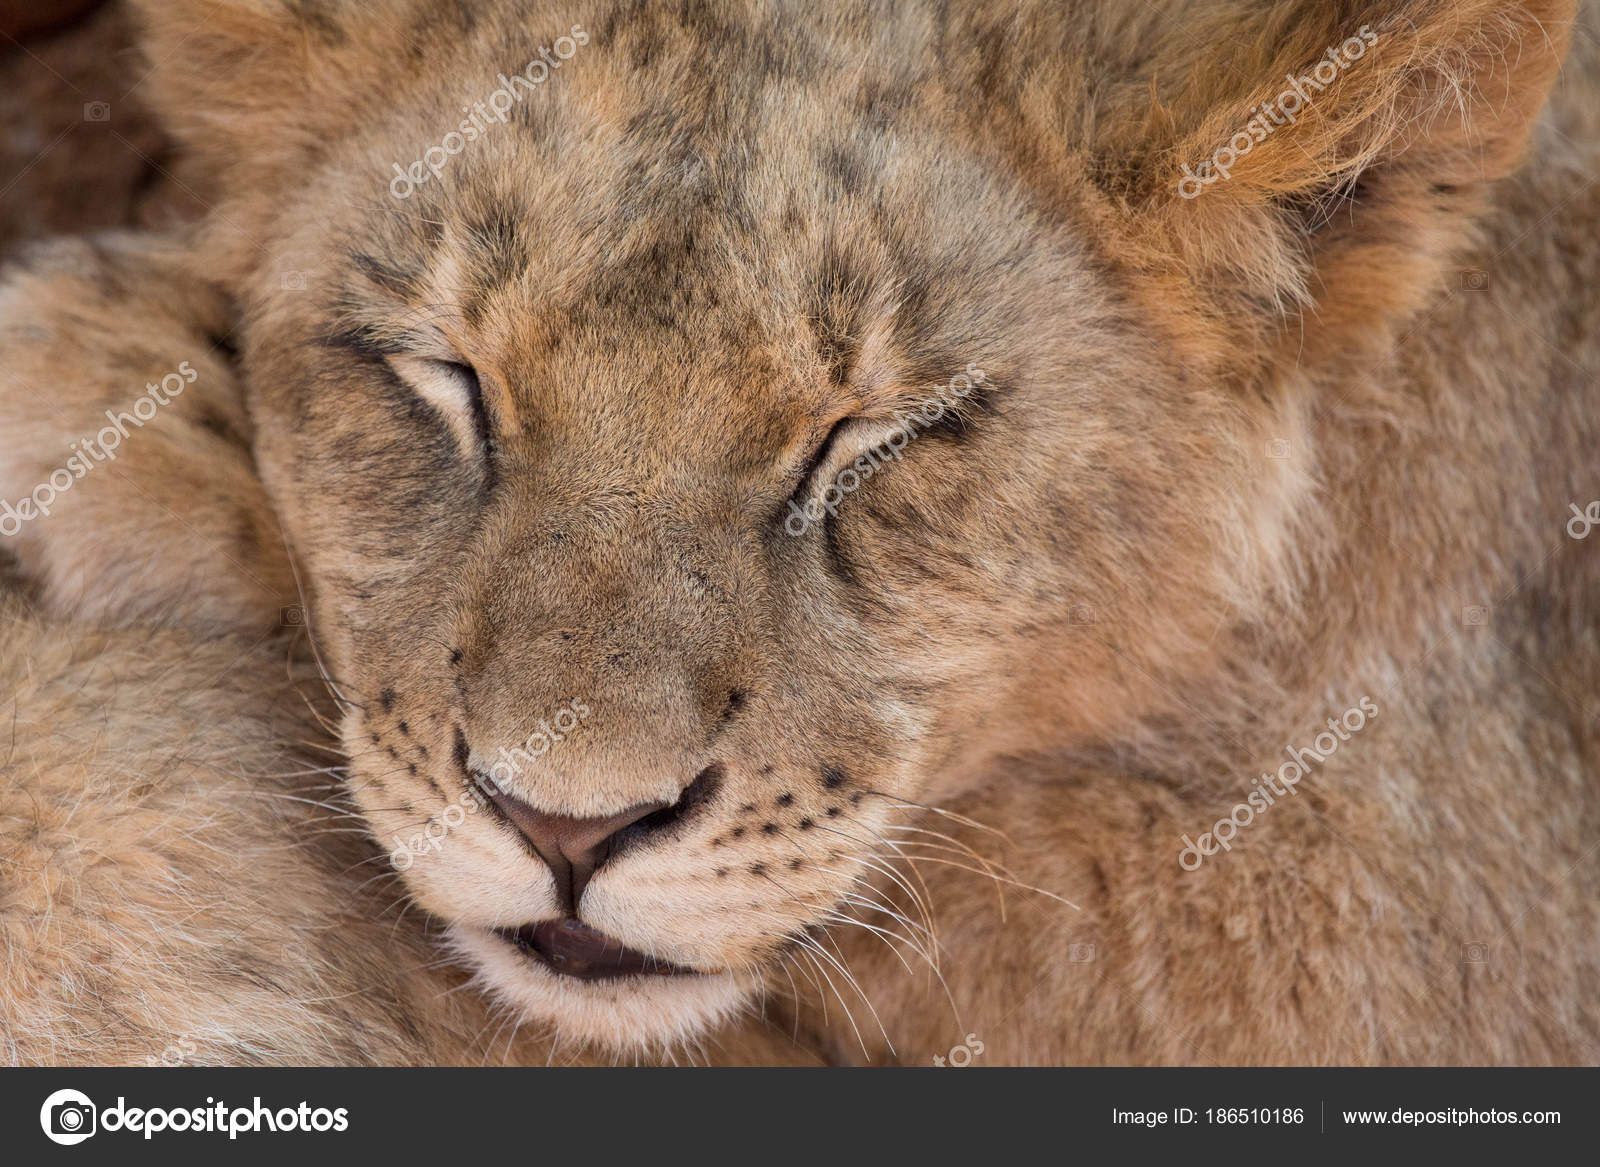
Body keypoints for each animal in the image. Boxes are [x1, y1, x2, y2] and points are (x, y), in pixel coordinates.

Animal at [5, 0, 1594, 1063]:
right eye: (447, 378)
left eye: (883, 437)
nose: (566, 828)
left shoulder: (1406, 922)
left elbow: (954, 883)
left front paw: (95, 405)